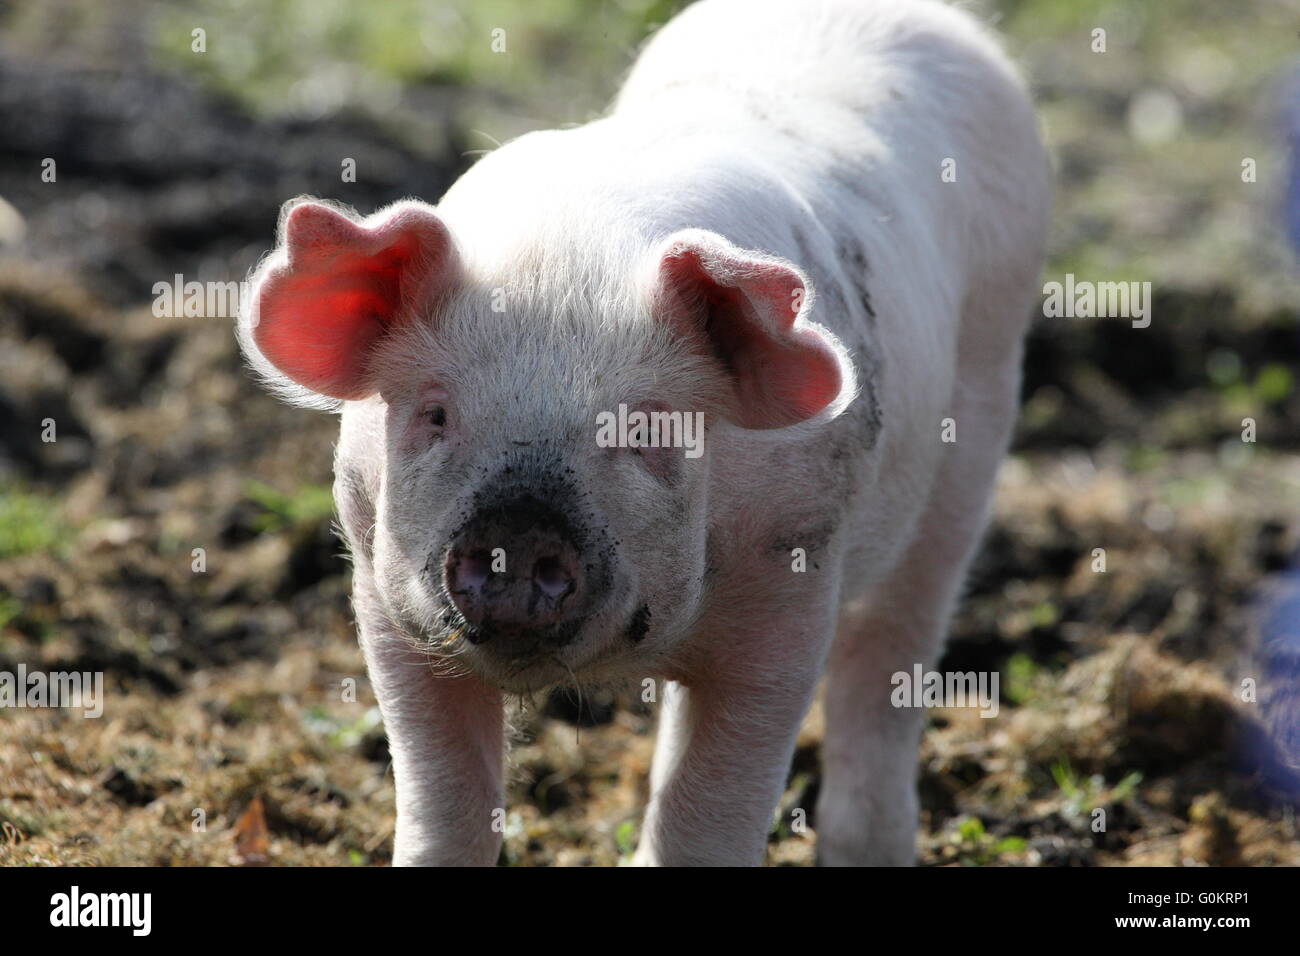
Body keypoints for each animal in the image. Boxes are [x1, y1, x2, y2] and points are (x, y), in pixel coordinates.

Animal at [237, 0, 1049, 866]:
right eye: (436, 413)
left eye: (649, 428)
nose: (515, 534)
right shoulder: (382, 587)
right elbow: (443, 803)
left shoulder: (795, 570)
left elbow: (711, 814)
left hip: (981, 411)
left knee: (894, 651)